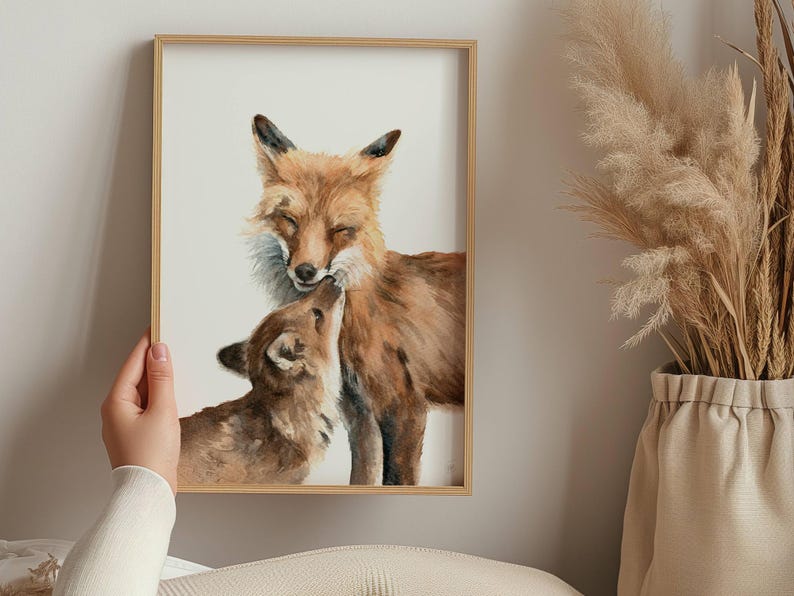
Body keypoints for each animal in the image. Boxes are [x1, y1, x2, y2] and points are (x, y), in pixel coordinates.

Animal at [244, 115, 466, 485]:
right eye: (291, 221)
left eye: (339, 229)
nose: (306, 271)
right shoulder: (359, 415)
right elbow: (363, 475)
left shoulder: (404, 407)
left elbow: (397, 480)